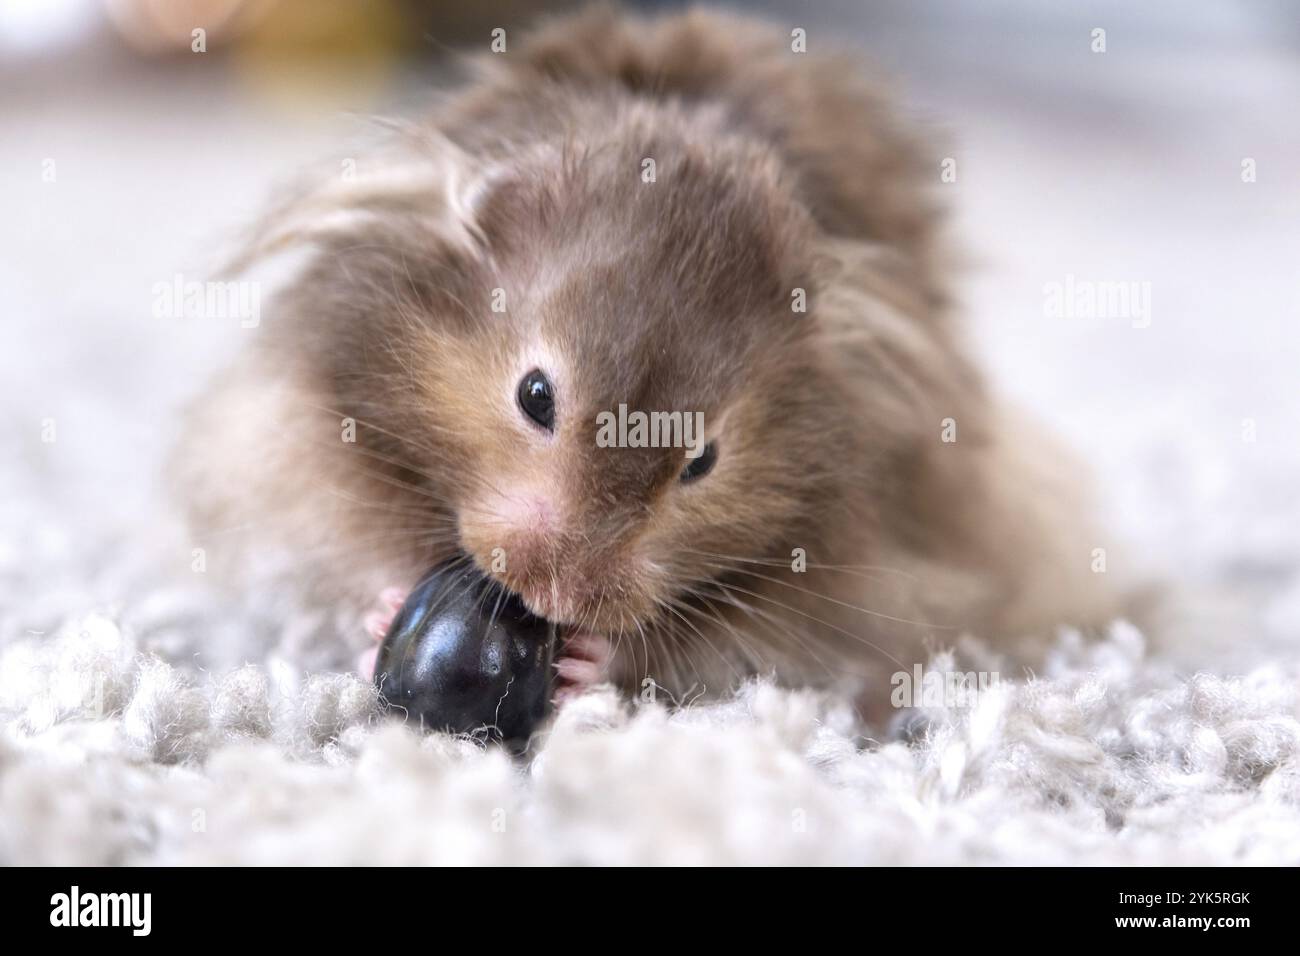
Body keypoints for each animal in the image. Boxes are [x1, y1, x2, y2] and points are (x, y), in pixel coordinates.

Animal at [174, 6, 1127, 716]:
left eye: (701, 461)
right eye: (535, 396)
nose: (555, 599)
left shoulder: (872, 573)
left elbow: (732, 639)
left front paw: (589, 660)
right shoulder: (299, 428)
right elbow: (348, 530)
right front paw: (382, 611)